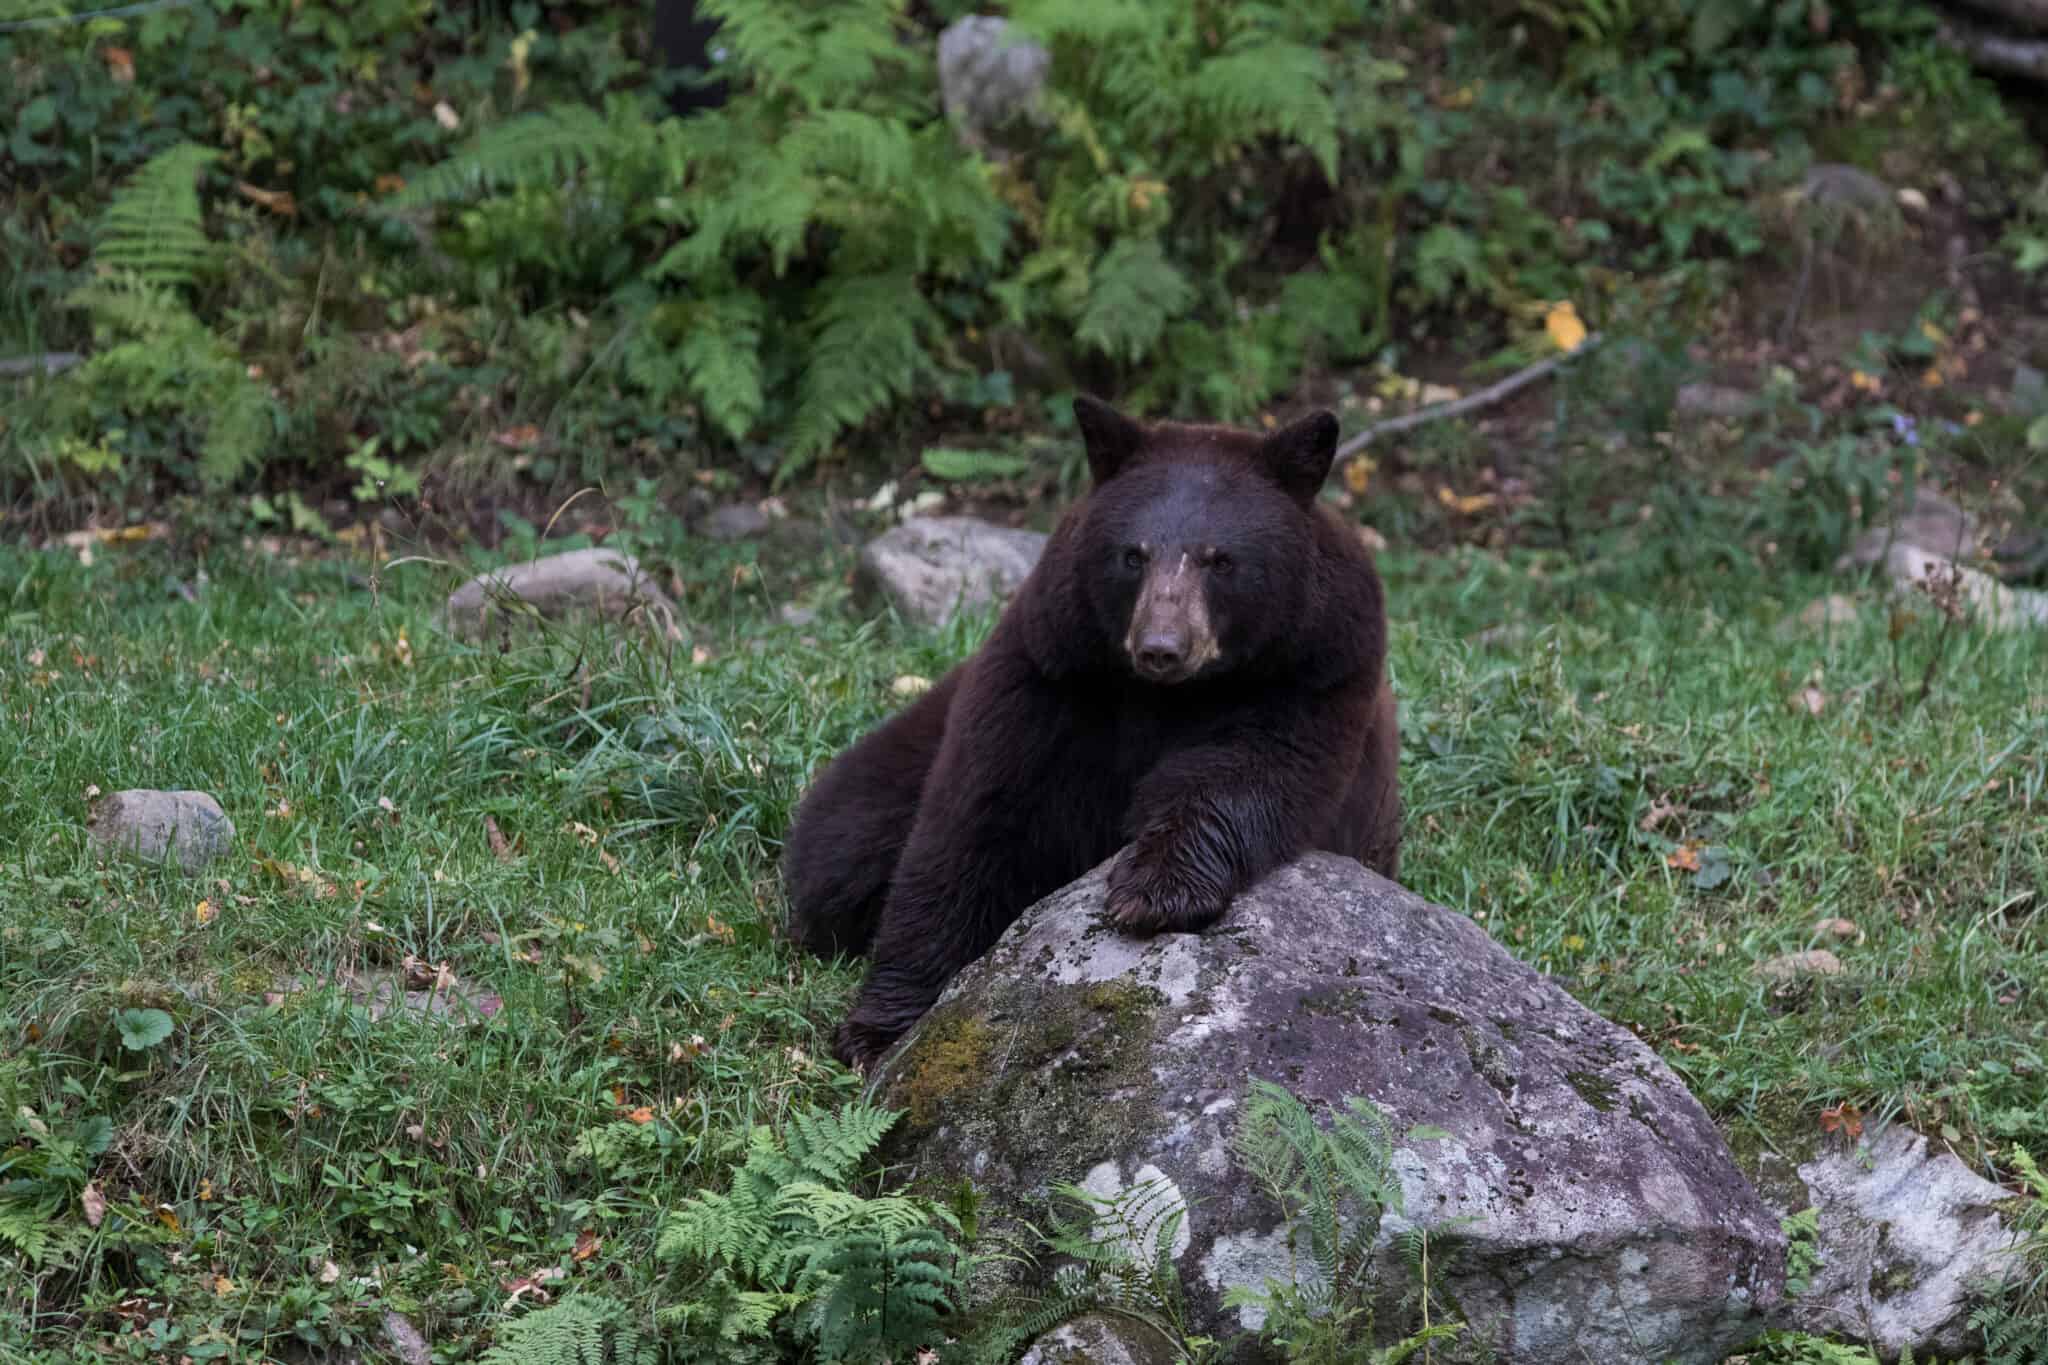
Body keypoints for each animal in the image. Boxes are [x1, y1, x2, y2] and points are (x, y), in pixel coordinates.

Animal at [781, 395, 1401, 1071]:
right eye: (1133, 555)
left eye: (1222, 560)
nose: (1161, 647)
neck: (1172, 696)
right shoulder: (1050, 666)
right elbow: (974, 816)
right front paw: (883, 1027)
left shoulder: (1319, 670)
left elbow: (1254, 771)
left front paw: (1152, 888)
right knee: (846, 840)